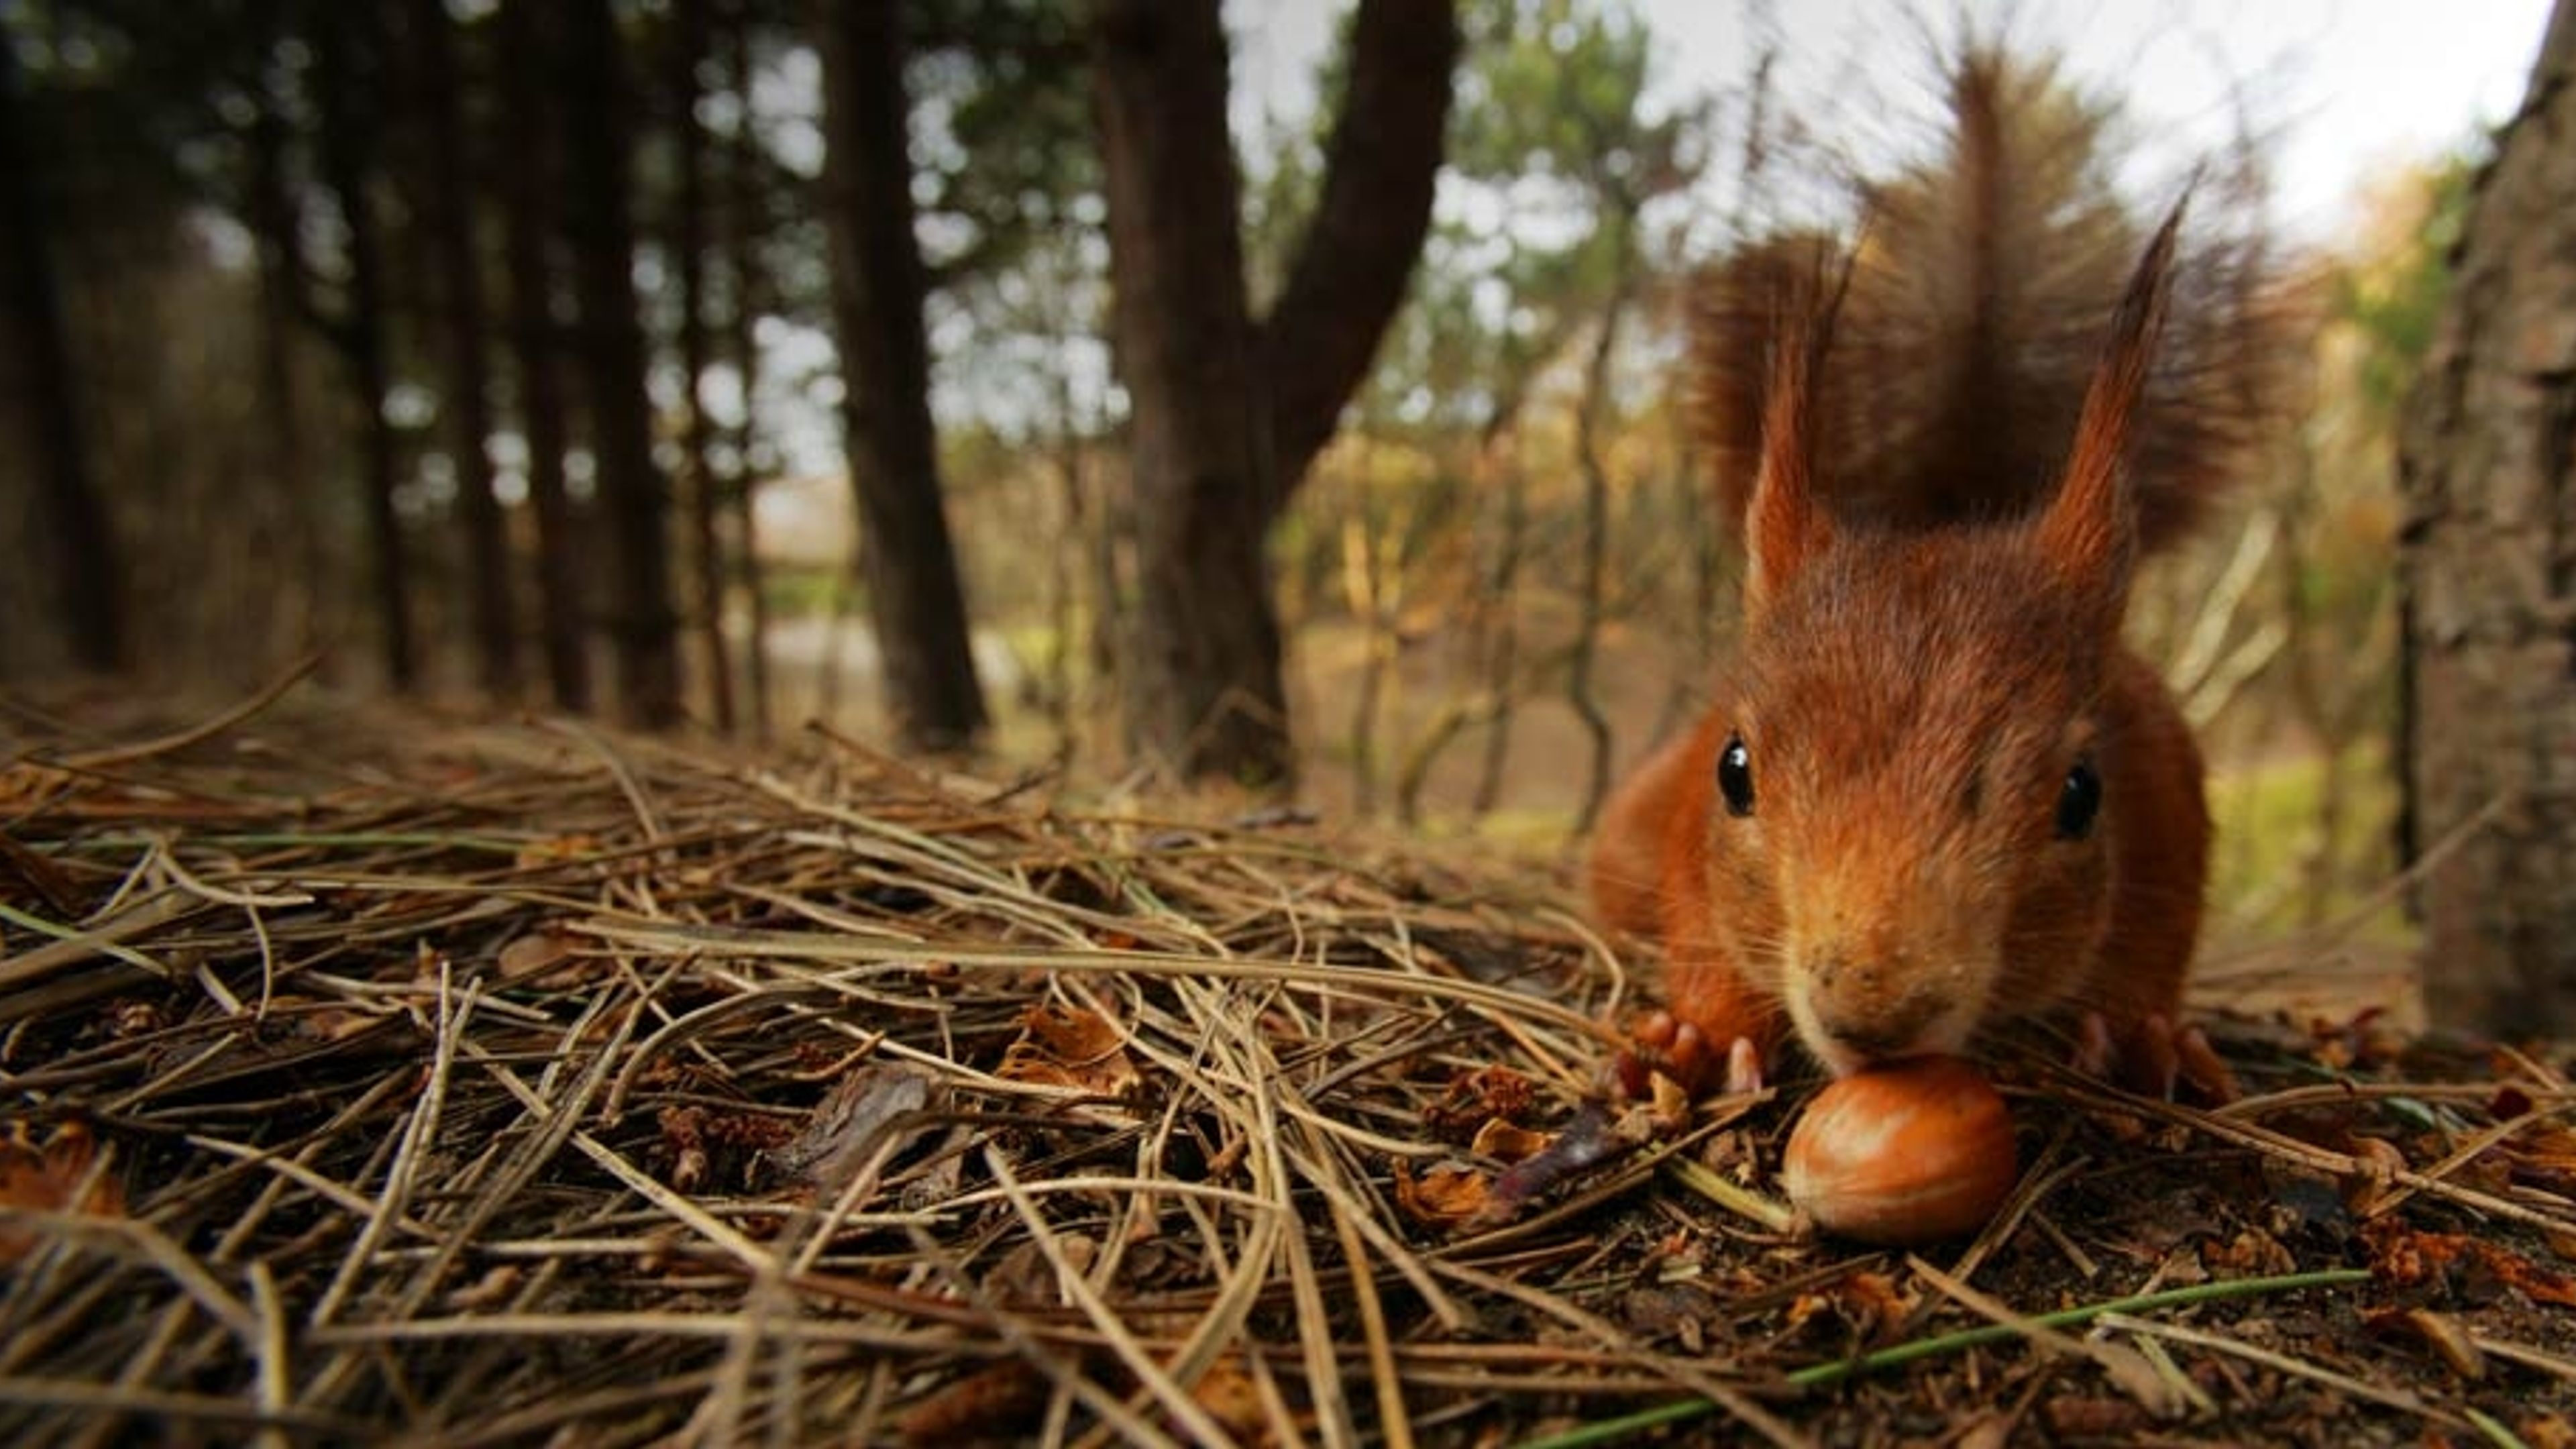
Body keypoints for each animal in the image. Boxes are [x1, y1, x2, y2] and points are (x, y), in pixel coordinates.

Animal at [1588, 52, 2276, 1099]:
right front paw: (1704, 1034)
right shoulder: (1689, 824)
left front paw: (2144, 1032)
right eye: (1734, 771)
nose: (1874, 1015)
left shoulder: (2165, 787)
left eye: (2082, 794)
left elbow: (2157, 927)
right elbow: (1700, 906)